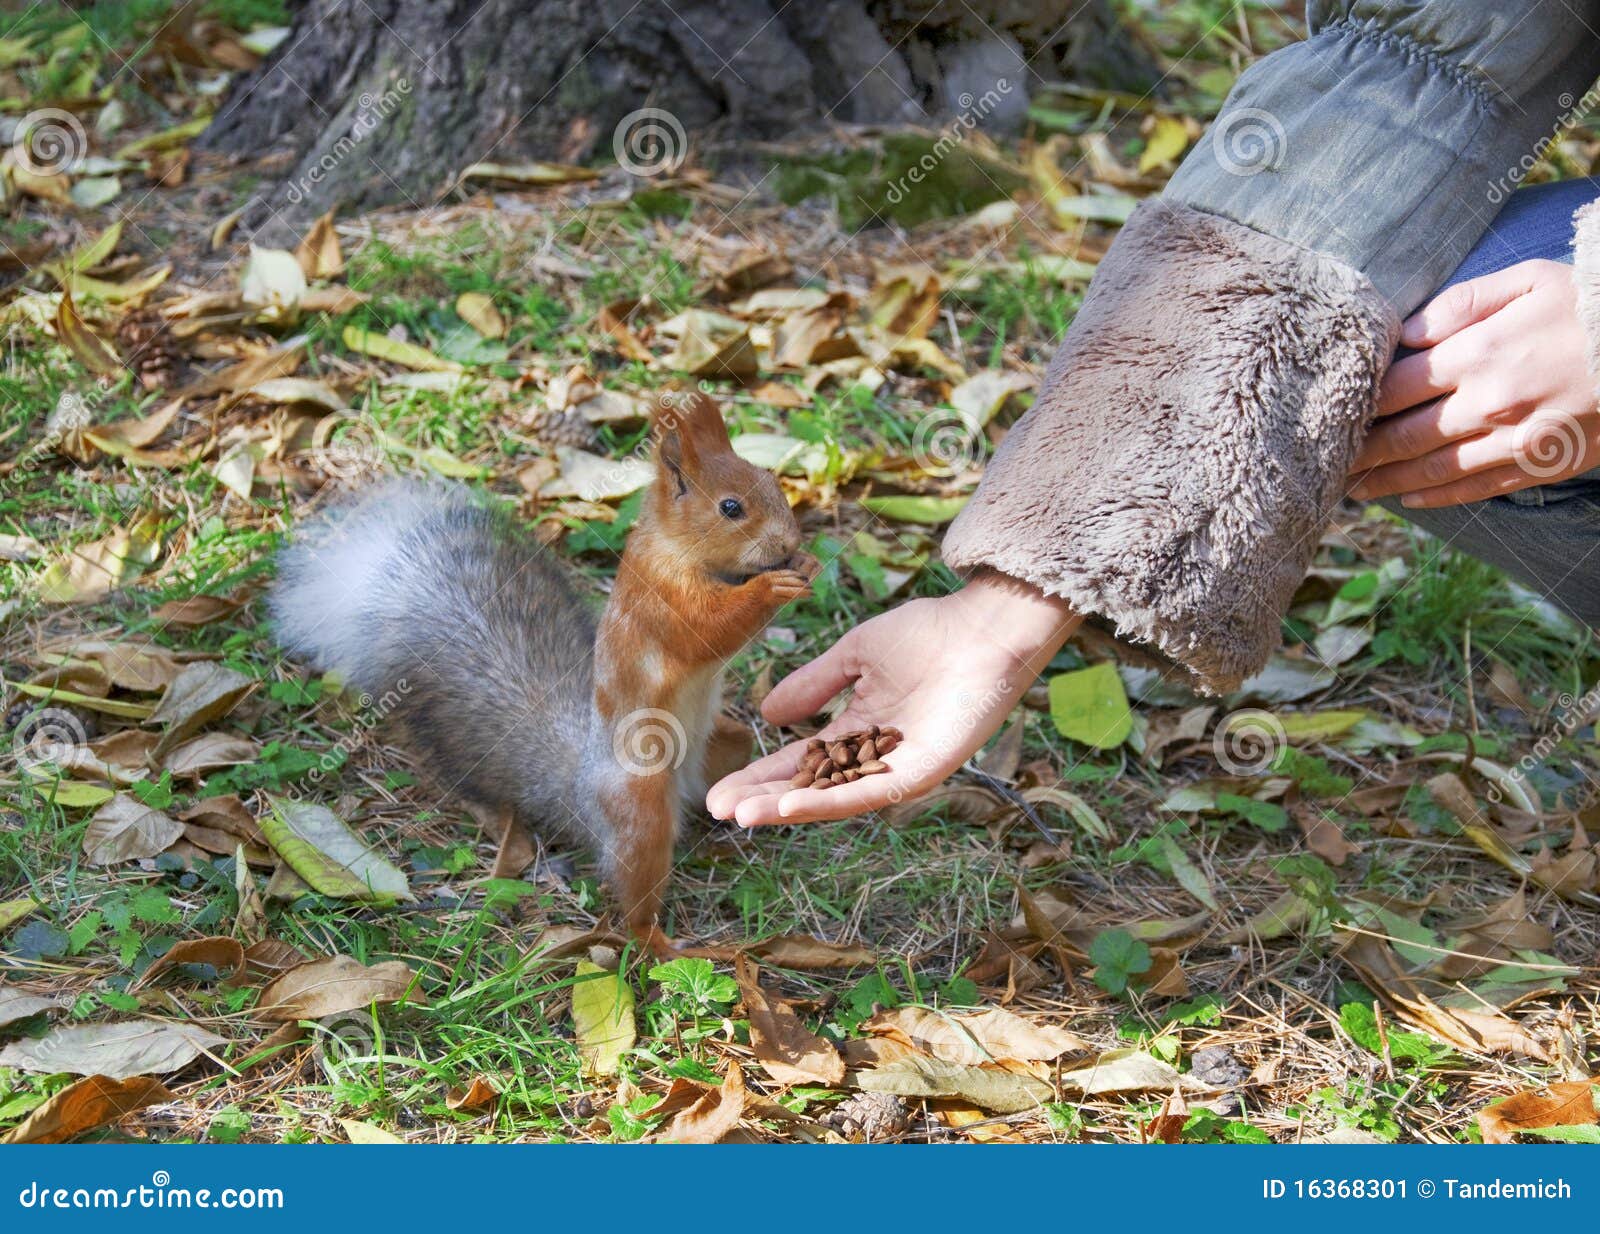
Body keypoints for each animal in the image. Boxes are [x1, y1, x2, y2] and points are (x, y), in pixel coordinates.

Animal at [269, 390, 816, 949]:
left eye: (771, 480)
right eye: (730, 507)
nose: (789, 542)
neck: (681, 551)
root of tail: (580, 791)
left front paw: (805, 564)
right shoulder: (661, 601)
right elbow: (709, 628)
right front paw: (771, 588)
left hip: (722, 744)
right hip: (639, 809)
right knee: (634, 889)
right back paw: (654, 939)